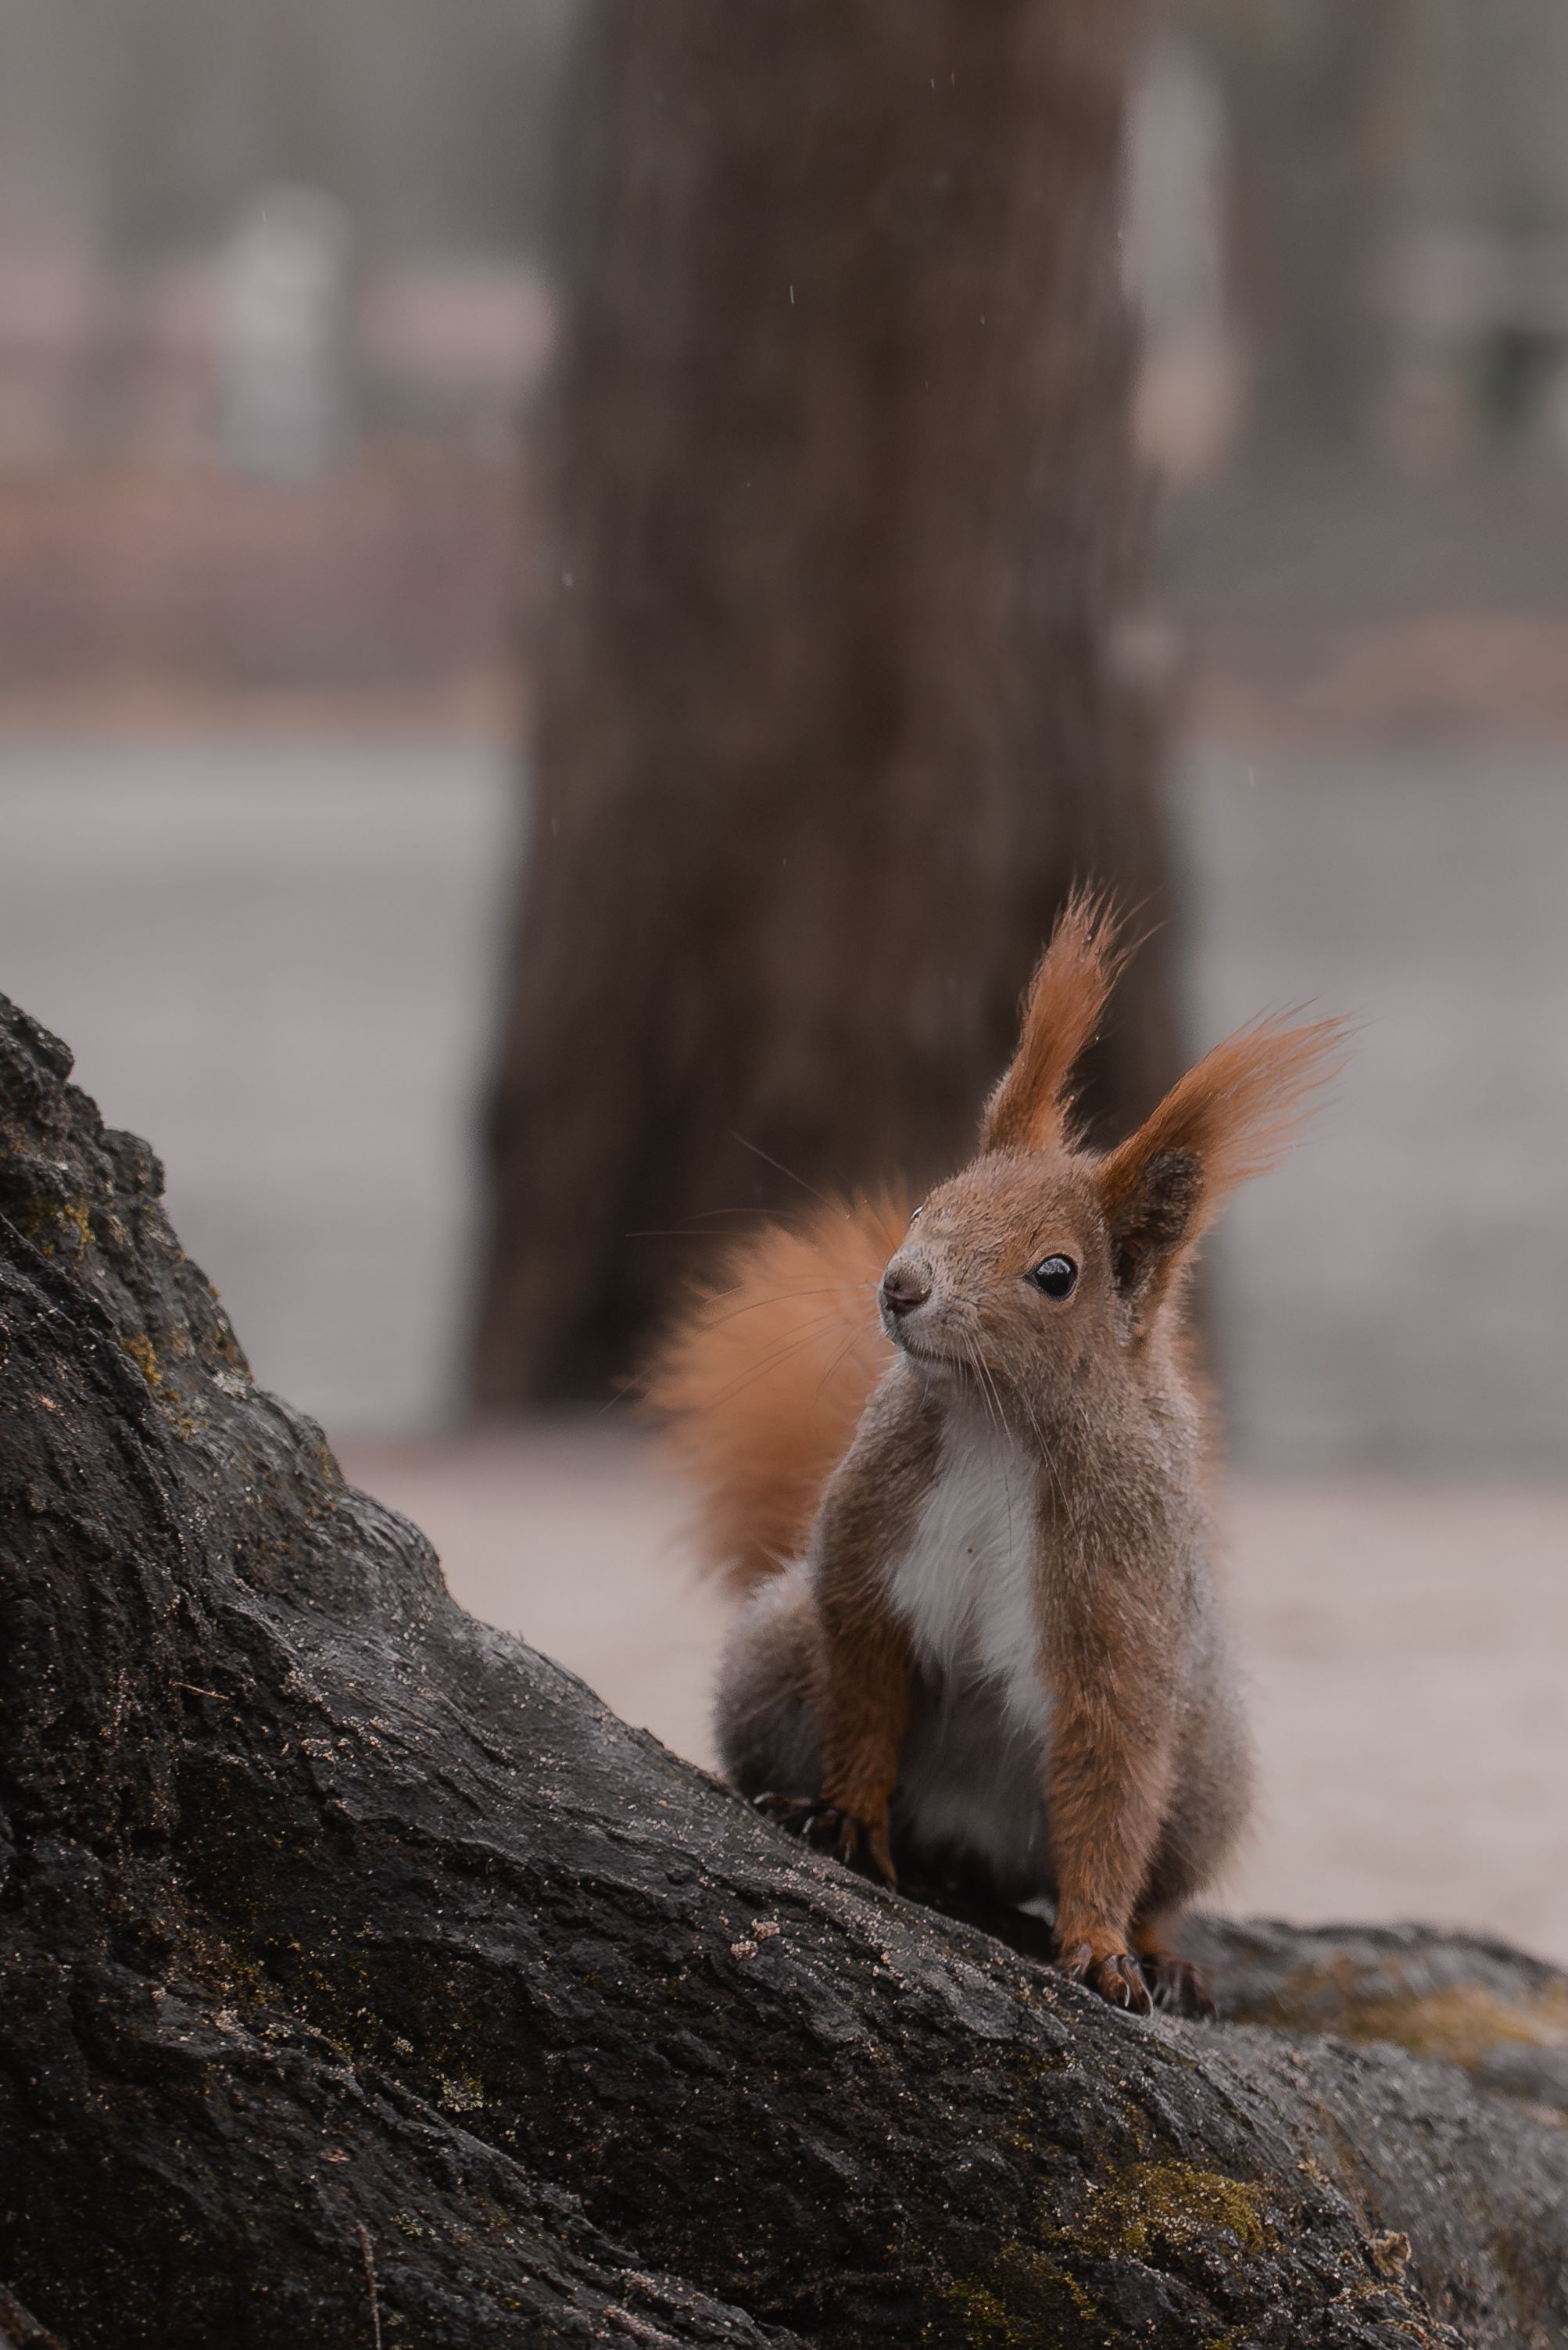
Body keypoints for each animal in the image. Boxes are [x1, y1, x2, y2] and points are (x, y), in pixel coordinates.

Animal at [647, 892, 1343, 2017]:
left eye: (1055, 1273)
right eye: (927, 1203)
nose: (900, 1285)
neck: (993, 1424)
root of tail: (974, 1846)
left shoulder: (1118, 1607)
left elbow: (1110, 1782)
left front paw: (1100, 1945)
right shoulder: (867, 1563)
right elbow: (867, 1694)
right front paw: (847, 1813)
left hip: (1208, 1766)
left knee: (1157, 1862)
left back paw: (1162, 1953)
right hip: (774, 1653)